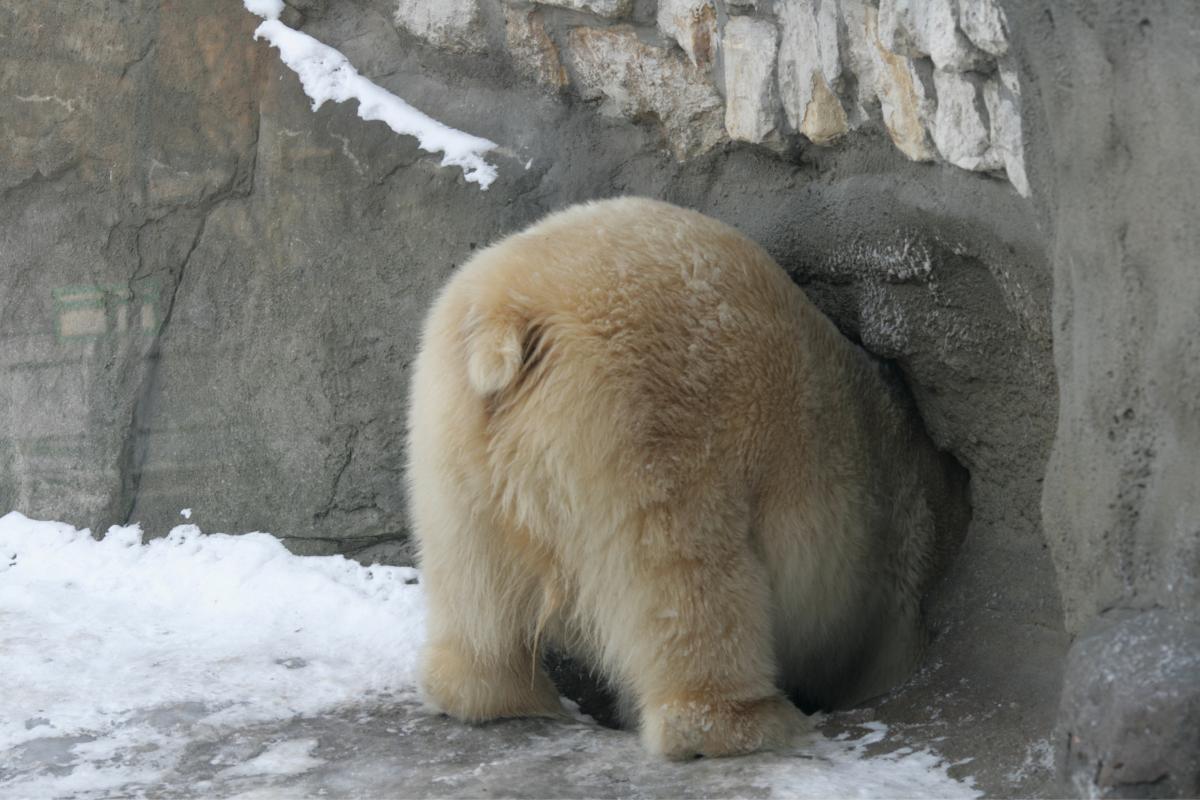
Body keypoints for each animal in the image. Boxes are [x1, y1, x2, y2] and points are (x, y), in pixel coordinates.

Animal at [406, 197, 969, 759]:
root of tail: (510, 314)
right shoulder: (899, 575)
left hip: (451, 427)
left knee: (469, 564)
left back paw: (494, 694)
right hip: (654, 425)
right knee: (685, 571)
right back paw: (740, 723)